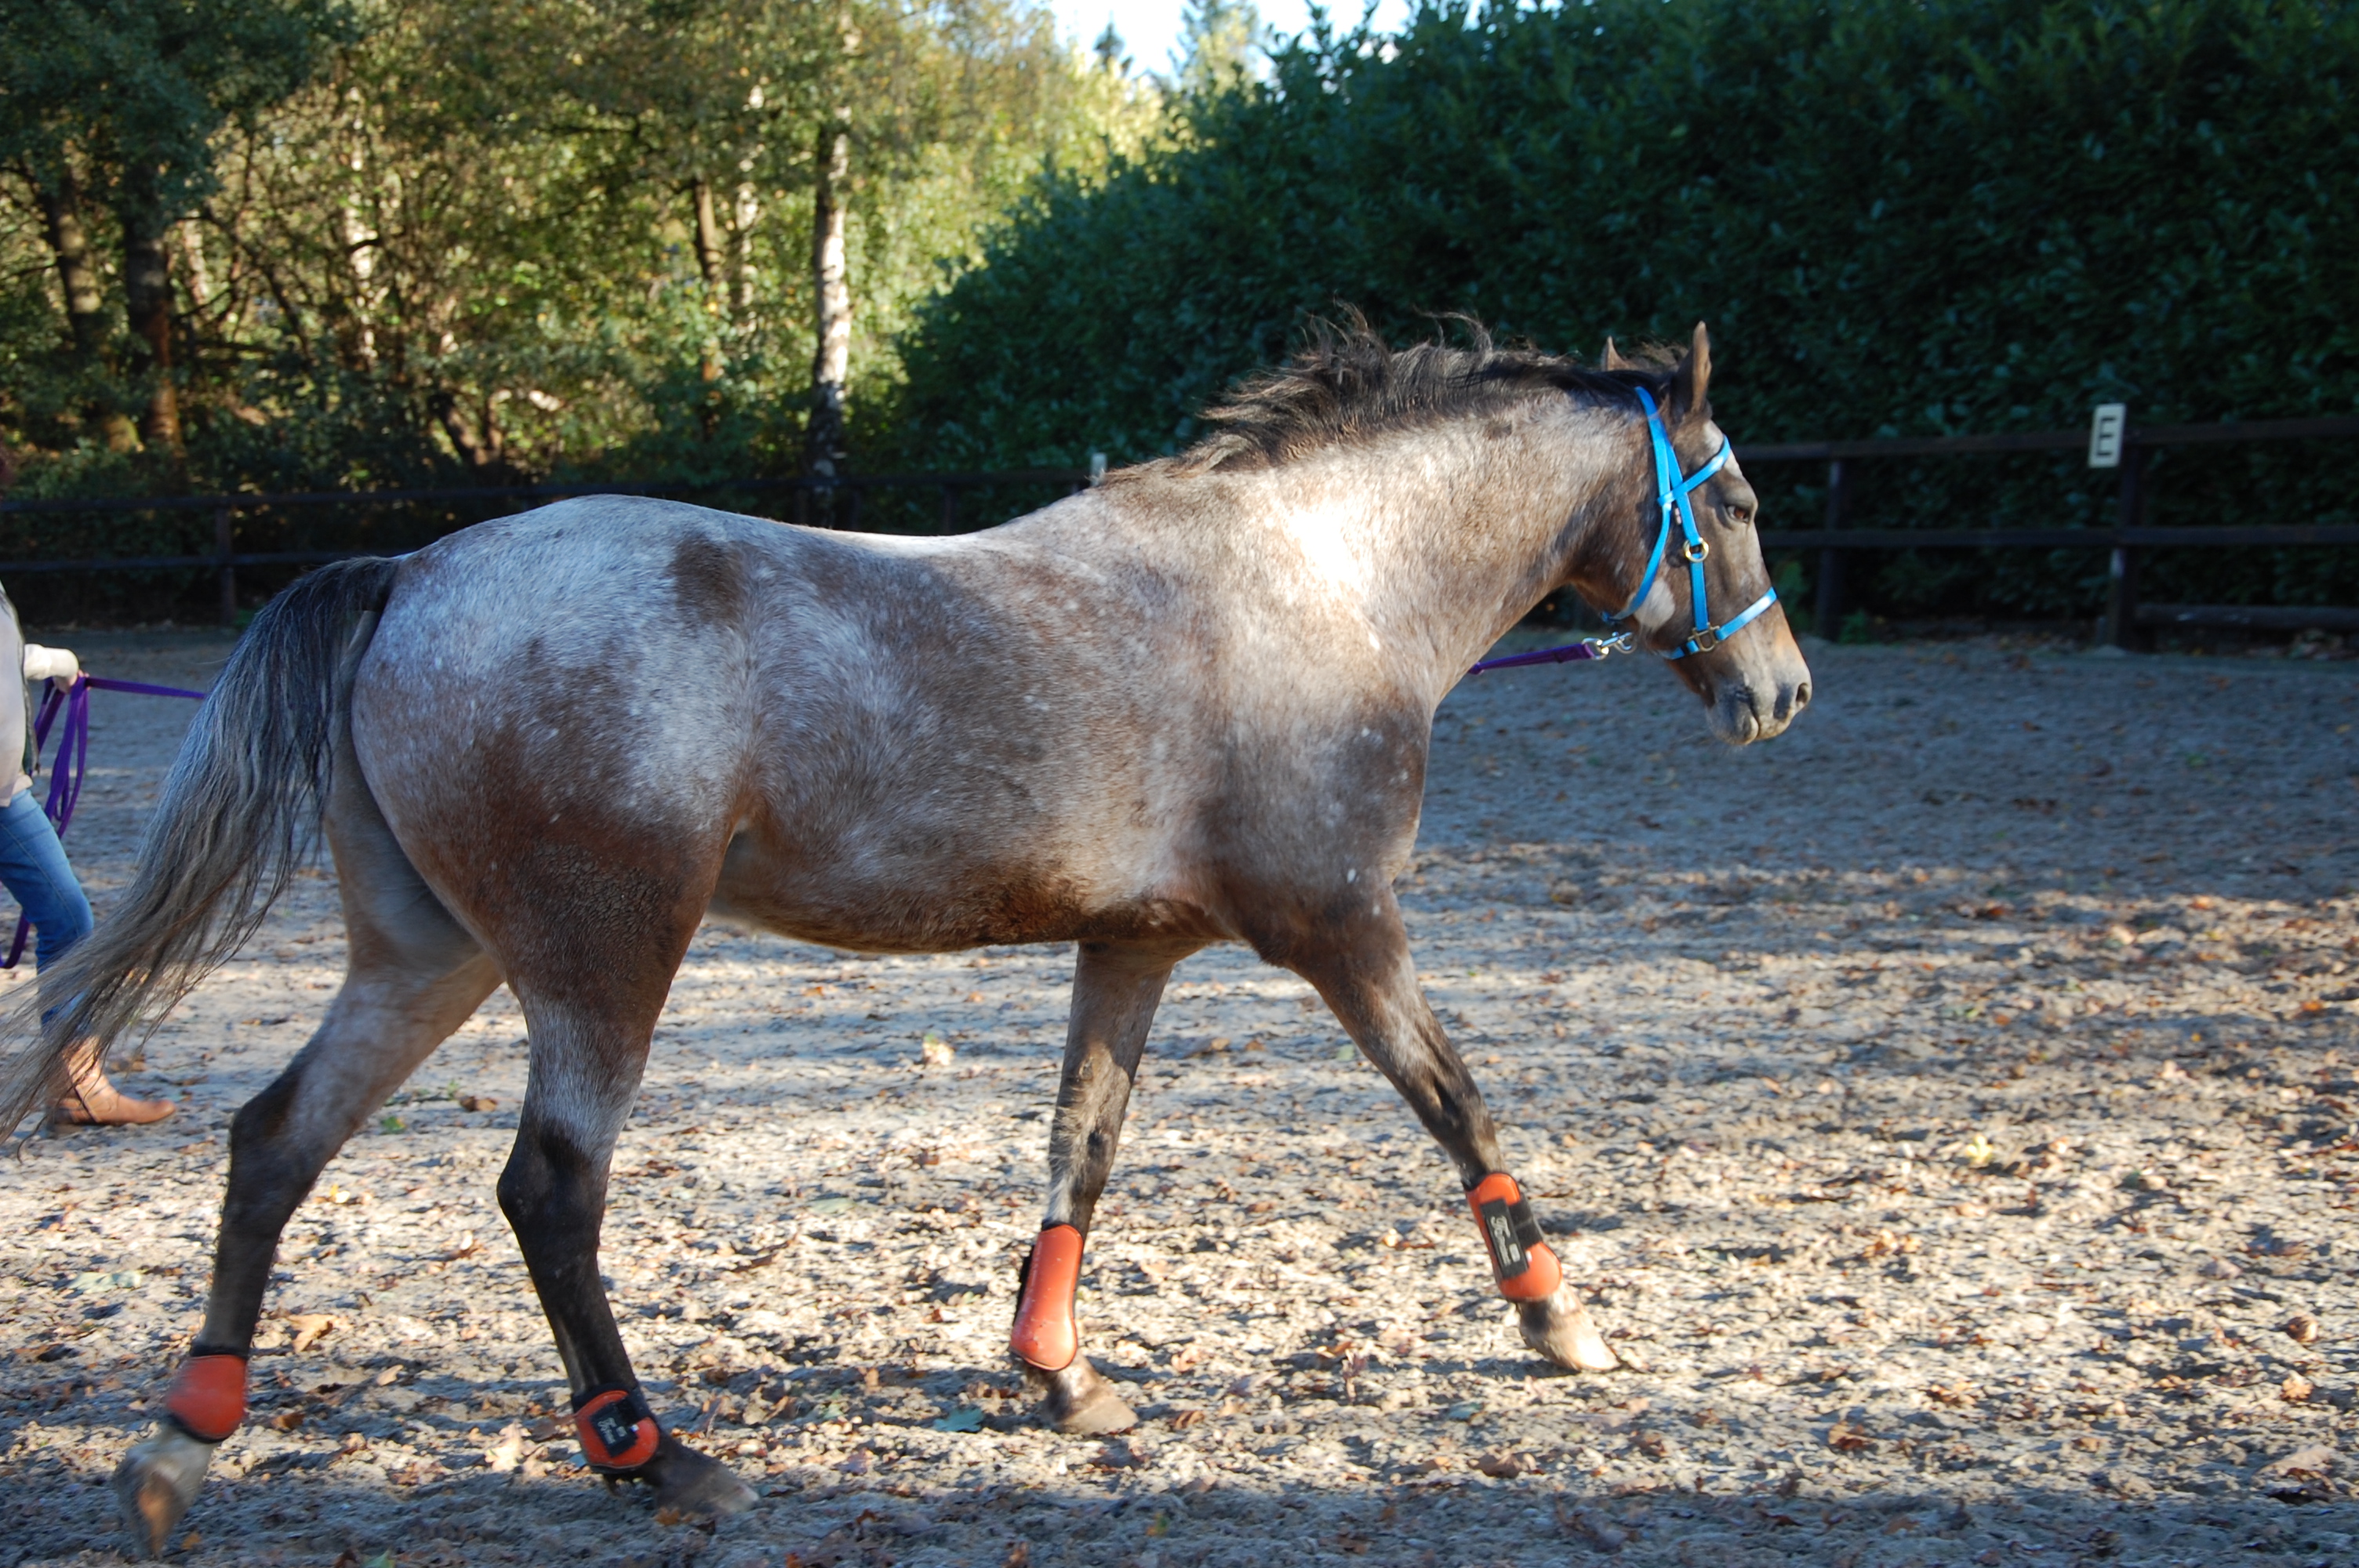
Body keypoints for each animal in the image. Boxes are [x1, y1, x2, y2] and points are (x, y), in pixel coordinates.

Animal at [1, 320, 1809, 1554]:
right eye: (1728, 497)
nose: (1780, 692)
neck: (1320, 584)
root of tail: (413, 574)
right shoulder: (1341, 927)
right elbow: (1461, 1111)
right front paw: (1561, 1319)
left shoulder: (1135, 949)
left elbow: (1082, 1151)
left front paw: (1061, 1376)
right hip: (600, 958)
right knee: (547, 1192)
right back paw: (652, 1455)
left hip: (428, 957)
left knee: (273, 1142)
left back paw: (180, 1444)